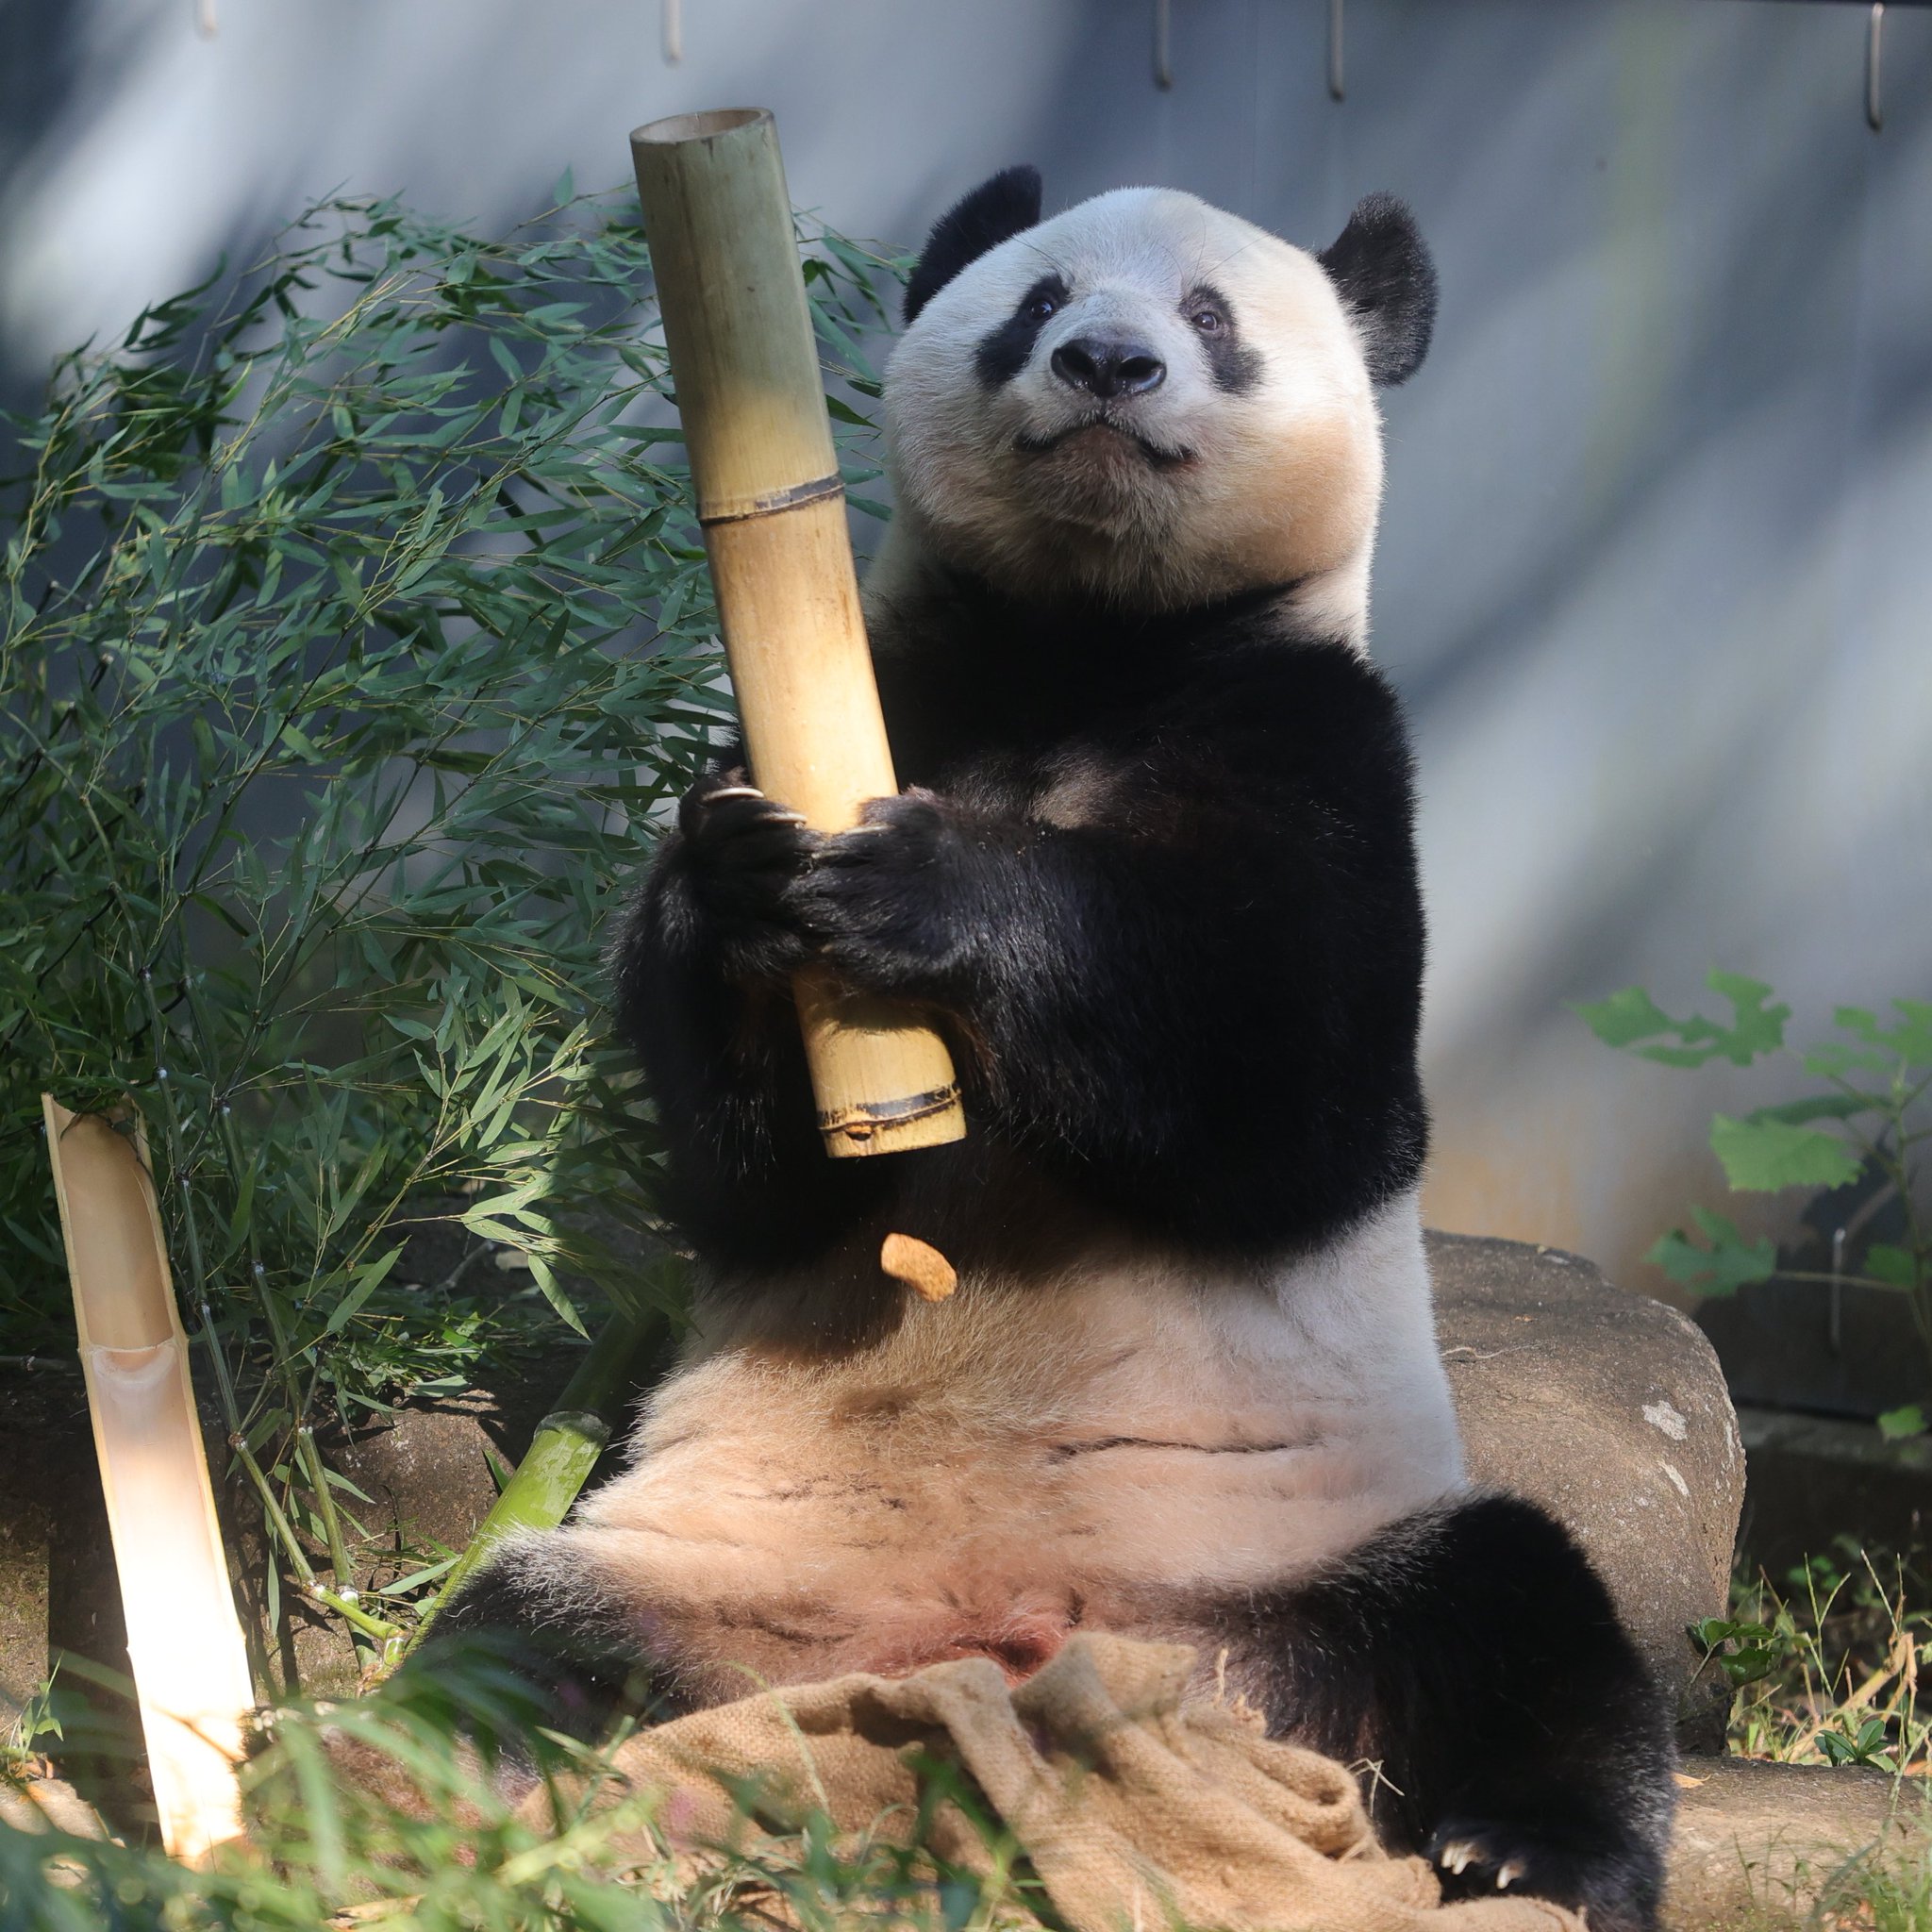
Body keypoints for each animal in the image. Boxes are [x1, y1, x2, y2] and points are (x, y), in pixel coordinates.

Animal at [436, 167, 1677, 1930]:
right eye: (1037, 300)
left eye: (1213, 317)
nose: (1104, 362)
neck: (1084, 646)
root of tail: (998, 1660)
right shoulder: (870, 690)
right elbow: (745, 1185)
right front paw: (740, 889)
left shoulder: (1325, 742)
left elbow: (1297, 1100)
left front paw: (937, 890)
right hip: (694, 1562)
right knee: (510, 1630)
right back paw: (443, 1782)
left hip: (1301, 1552)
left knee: (1516, 1605)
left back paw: (1531, 1846)